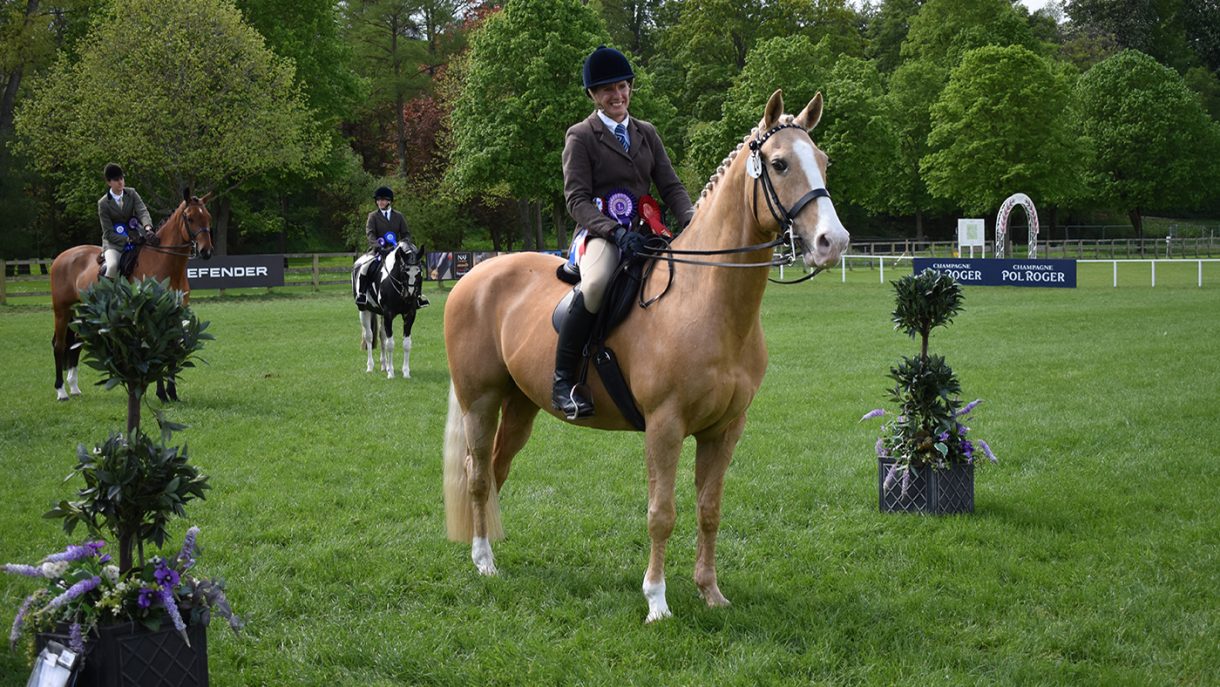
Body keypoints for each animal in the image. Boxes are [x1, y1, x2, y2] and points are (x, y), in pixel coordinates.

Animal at [50, 190, 214, 402]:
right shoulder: (151, 313)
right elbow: (155, 348)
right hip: (62, 311)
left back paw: (74, 388)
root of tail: (62, 256)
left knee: (76, 342)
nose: (206, 251)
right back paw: (61, 391)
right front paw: (162, 394)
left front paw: (172, 394)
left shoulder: (175, 312)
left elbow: (171, 347)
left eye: (207, 217)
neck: (165, 263)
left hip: (82, 311)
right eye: (190, 218)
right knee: (59, 345)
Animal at [351, 240, 425, 378]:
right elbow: (390, 344)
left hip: (381, 315)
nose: (410, 296)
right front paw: (391, 374)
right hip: (364, 311)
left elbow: (406, 344)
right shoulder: (388, 314)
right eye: (404, 271)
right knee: (369, 336)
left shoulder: (410, 314)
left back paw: (384, 366)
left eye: (419, 272)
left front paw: (406, 372)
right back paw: (370, 367)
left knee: (382, 336)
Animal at [441, 90, 850, 622]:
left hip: (520, 406)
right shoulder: (665, 425)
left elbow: (709, 509)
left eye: (823, 161)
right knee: (476, 475)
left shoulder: (724, 430)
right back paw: (483, 561)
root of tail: (472, 276)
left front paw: (710, 592)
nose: (832, 243)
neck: (706, 300)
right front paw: (657, 601)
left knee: (495, 469)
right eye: (779, 164)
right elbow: (662, 514)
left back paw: (490, 547)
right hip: (481, 401)